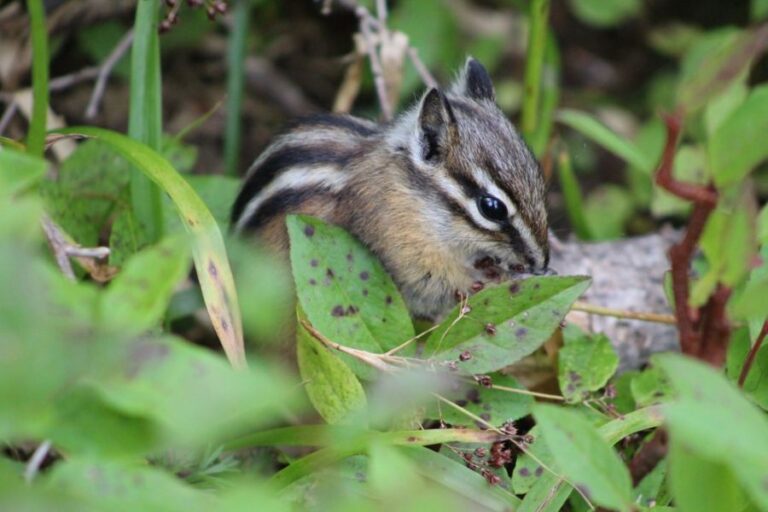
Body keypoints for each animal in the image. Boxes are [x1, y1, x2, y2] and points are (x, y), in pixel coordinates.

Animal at [231, 58, 550, 321]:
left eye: (537, 172)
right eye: (491, 207)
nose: (541, 263)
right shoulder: (398, 245)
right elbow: (436, 285)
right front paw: (508, 279)